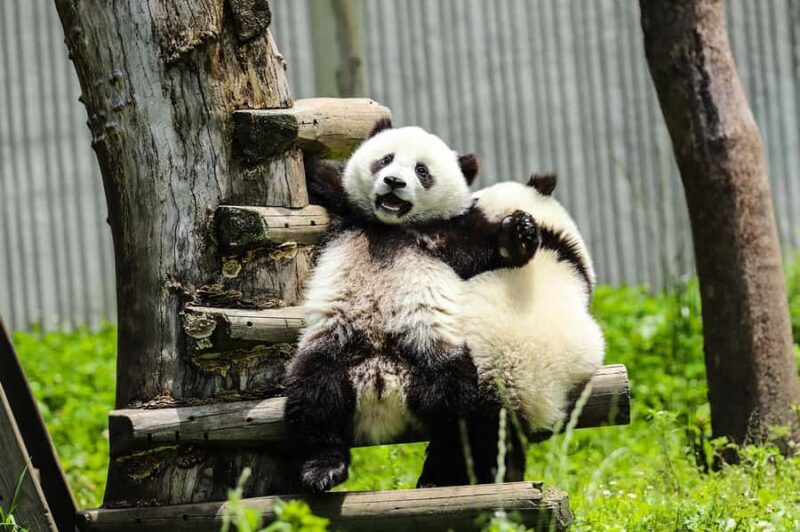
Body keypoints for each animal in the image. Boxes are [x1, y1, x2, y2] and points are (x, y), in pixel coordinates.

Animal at [284, 119, 540, 492]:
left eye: (422, 171)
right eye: (386, 159)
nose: (394, 181)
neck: (390, 227)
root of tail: (382, 385)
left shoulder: (447, 235)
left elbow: (490, 248)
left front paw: (521, 231)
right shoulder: (343, 205)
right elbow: (318, 177)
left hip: (437, 355)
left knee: (458, 412)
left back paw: (440, 476)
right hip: (334, 347)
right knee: (315, 397)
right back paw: (323, 468)